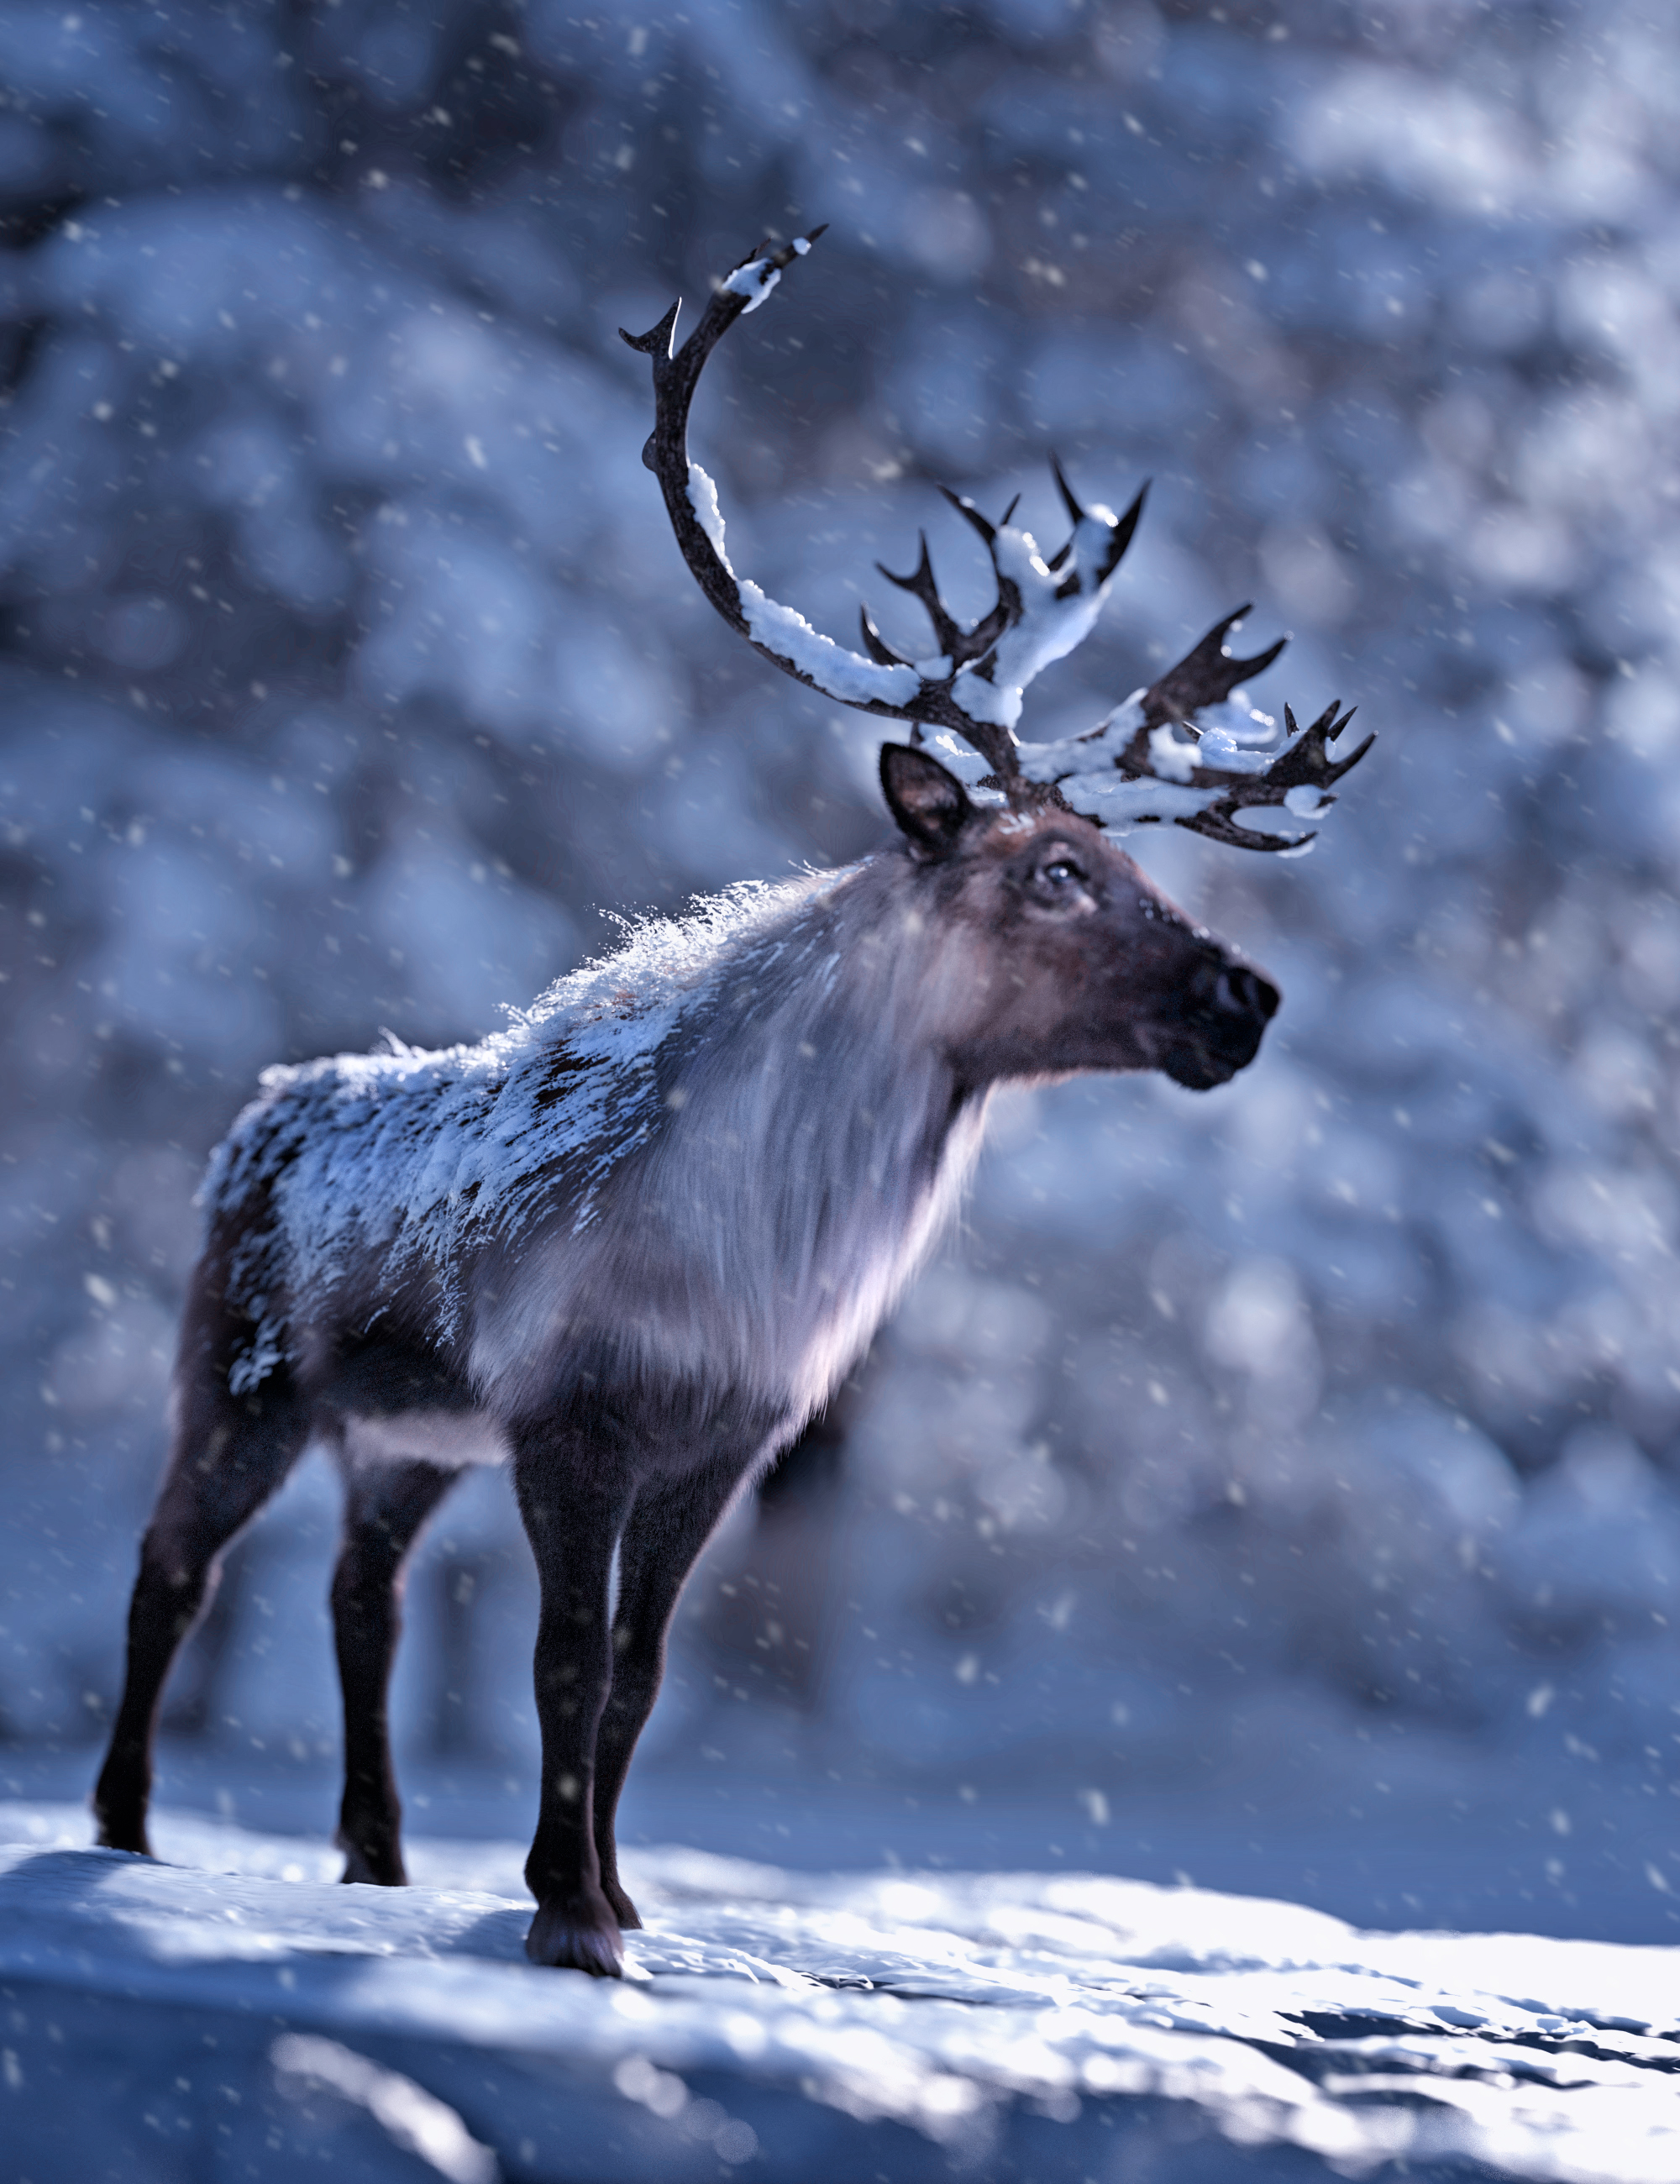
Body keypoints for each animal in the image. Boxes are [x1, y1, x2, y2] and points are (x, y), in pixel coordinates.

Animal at [93, 233, 1371, 1976]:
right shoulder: (574, 1413)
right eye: (1054, 870)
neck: (770, 1242)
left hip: (408, 1437)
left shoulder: (731, 1436)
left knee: (366, 1592)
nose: (1248, 996)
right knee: (172, 1567)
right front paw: (565, 1912)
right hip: (240, 1375)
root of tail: (253, 1116)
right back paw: (124, 1827)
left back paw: (377, 1855)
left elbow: (638, 1674)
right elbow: (565, 1662)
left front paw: (623, 1896)